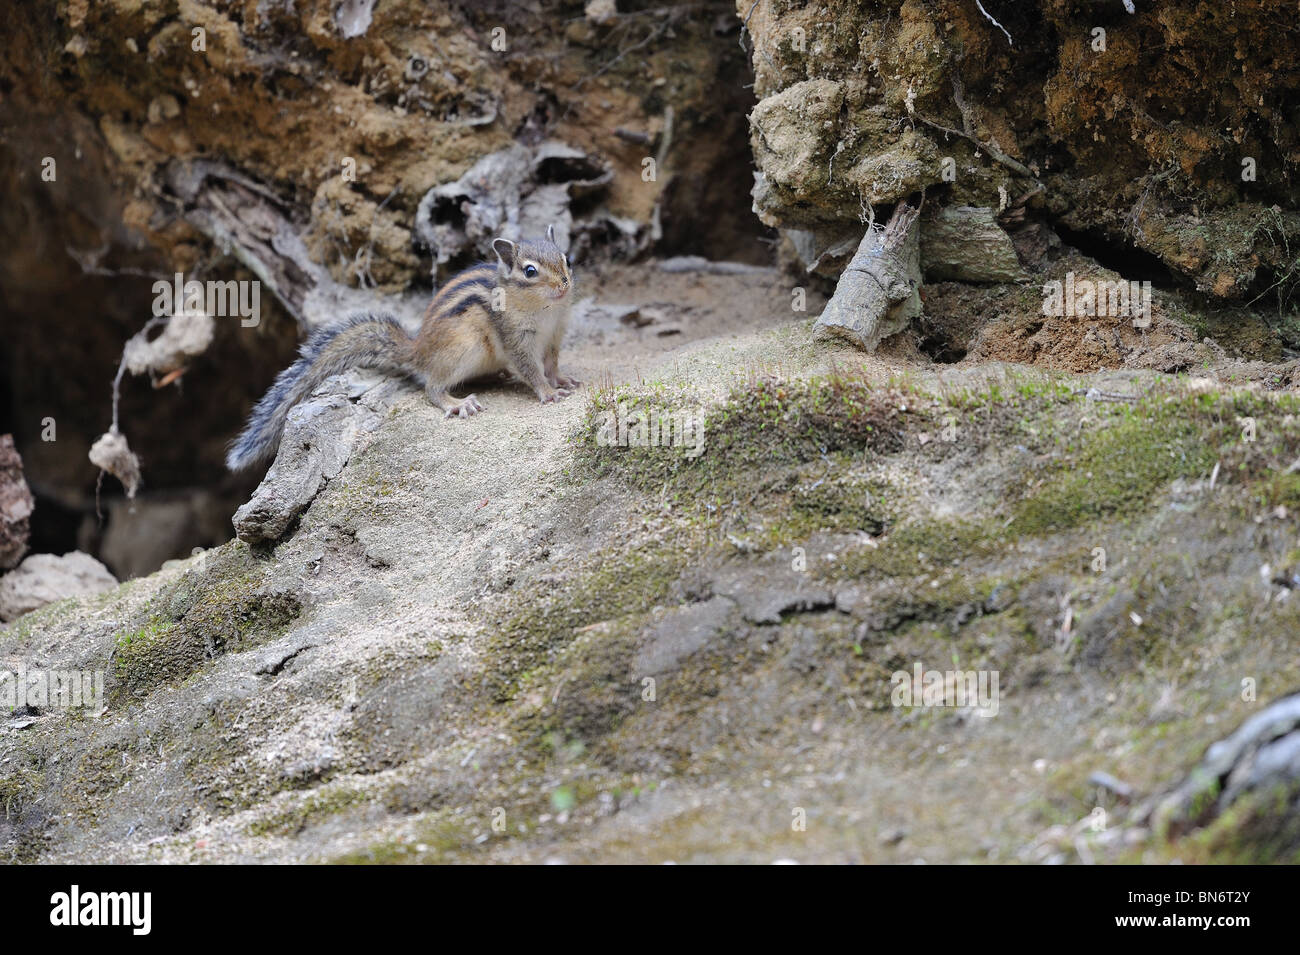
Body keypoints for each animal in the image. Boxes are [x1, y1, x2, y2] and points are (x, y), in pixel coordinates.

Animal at [226, 226, 578, 472]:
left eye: (566, 258)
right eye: (530, 271)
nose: (564, 284)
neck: (546, 311)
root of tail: (417, 350)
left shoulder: (556, 334)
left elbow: (552, 362)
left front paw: (562, 380)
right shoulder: (516, 338)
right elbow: (531, 368)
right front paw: (548, 392)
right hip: (462, 348)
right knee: (432, 387)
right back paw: (456, 403)